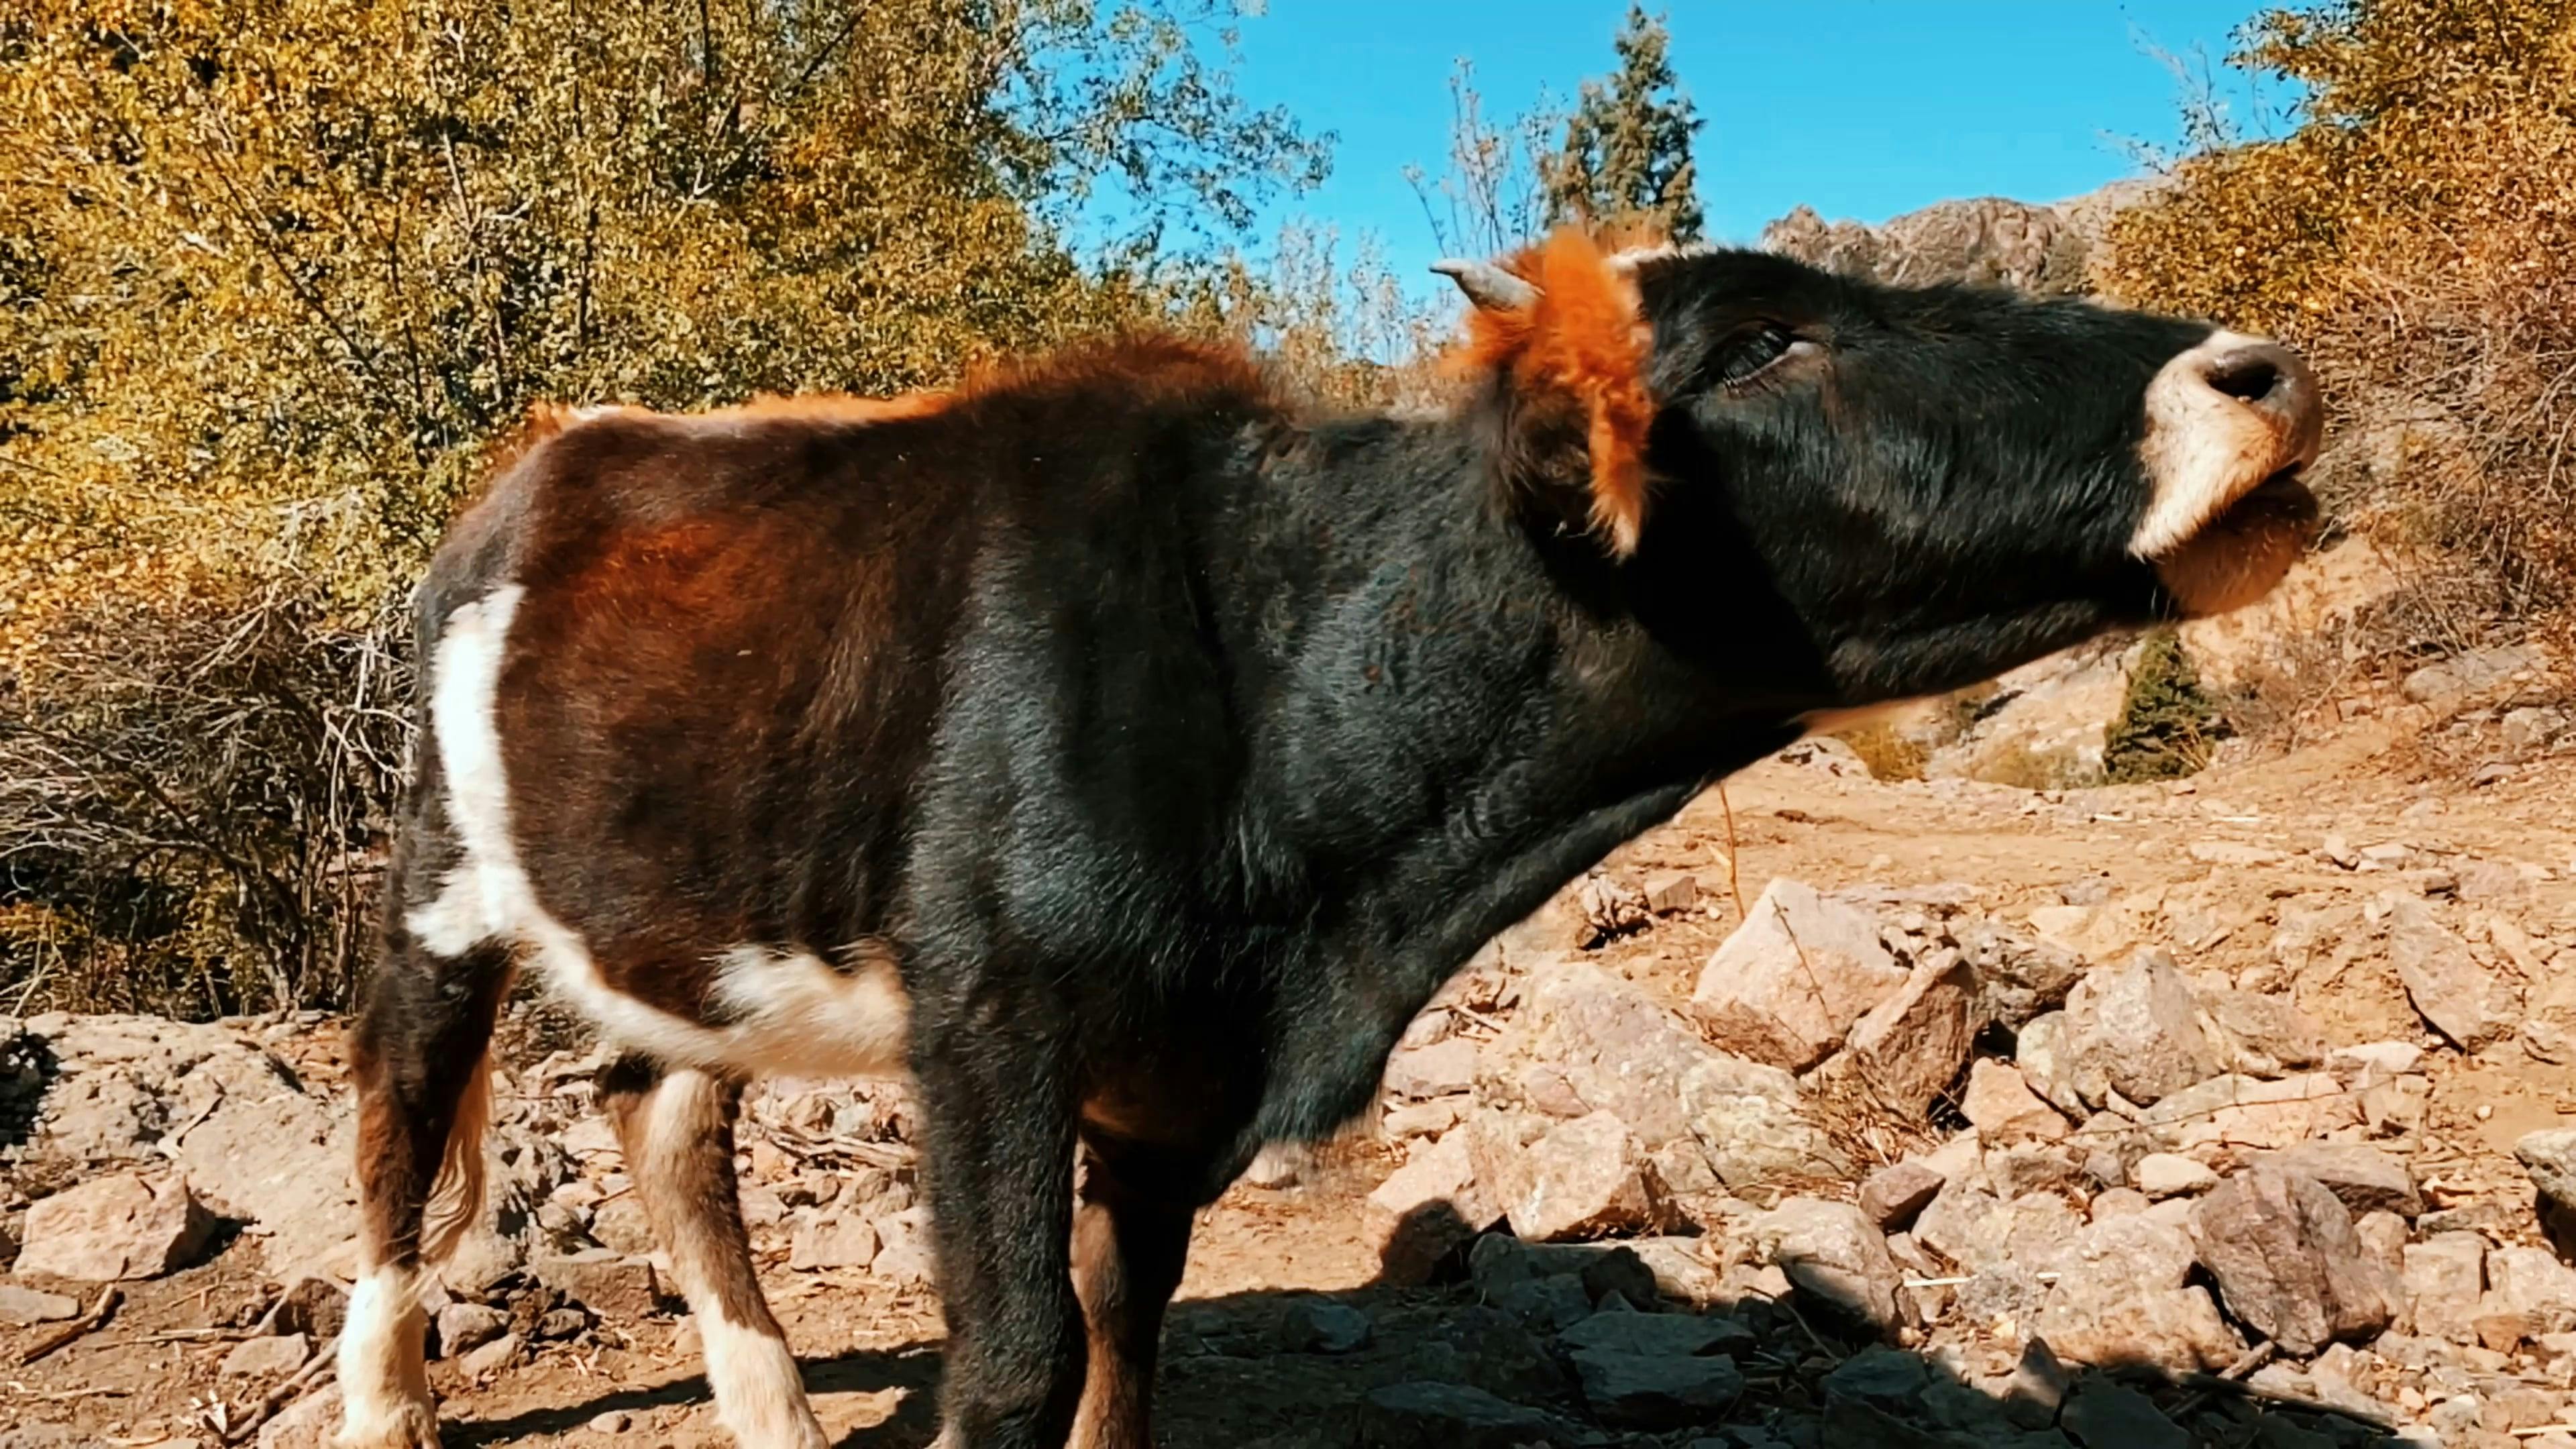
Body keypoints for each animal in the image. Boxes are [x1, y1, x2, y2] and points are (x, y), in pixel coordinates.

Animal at [335, 225, 2321, 1449]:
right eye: (1766, 342)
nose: (2257, 367)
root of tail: (548, 454)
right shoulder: (994, 1020)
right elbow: (1019, 1352)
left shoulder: (1172, 1078)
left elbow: (1122, 1326)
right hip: (435, 885)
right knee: (400, 1142)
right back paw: (392, 1404)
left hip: (699, 924)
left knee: (659, 1110)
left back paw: (773, 1410)